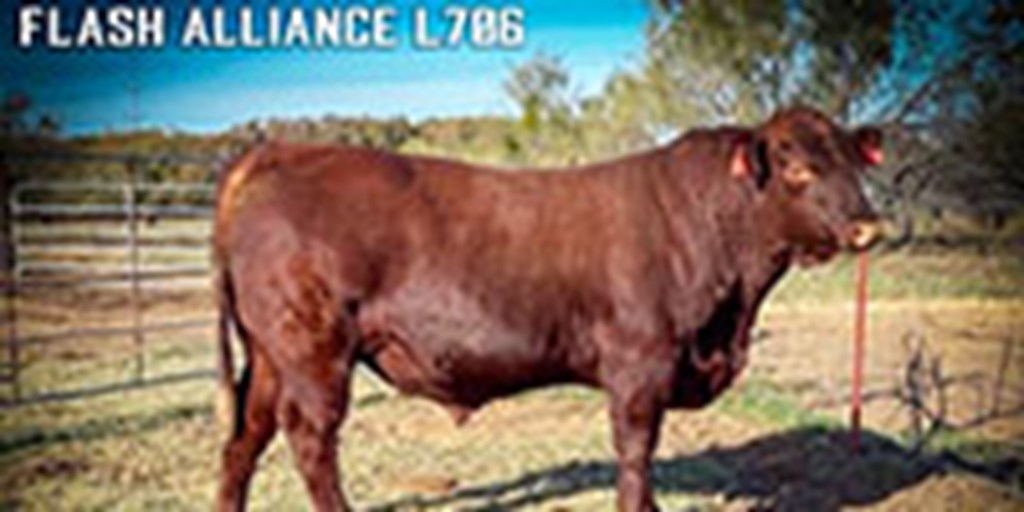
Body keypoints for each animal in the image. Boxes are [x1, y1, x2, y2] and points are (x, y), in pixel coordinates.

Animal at [213, 106, 884, 512]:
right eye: (796, 168)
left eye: (853, 163)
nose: (867, 226)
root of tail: (277, 153)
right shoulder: (640, 365)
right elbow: (636, 454)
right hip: (313, 350)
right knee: (310, 440)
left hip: (270, 355)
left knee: (244, 439)